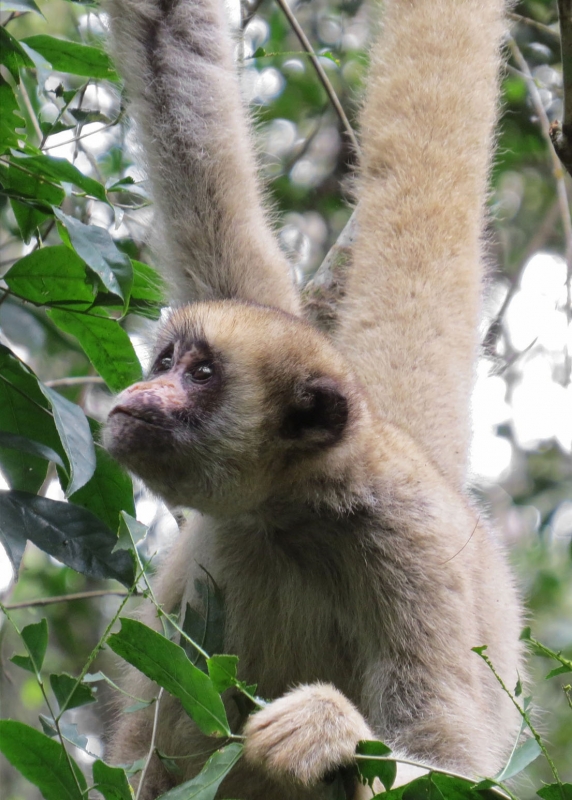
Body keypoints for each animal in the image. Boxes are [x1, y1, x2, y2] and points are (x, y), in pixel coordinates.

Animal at [103, 0, 524, 798]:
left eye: (201, 375)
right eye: (169, 360)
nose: (142, 388)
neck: (290, 512)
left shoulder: (412, 545)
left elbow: (453, 754)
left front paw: (329, 735)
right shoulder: (254, 301)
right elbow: (172, 59)